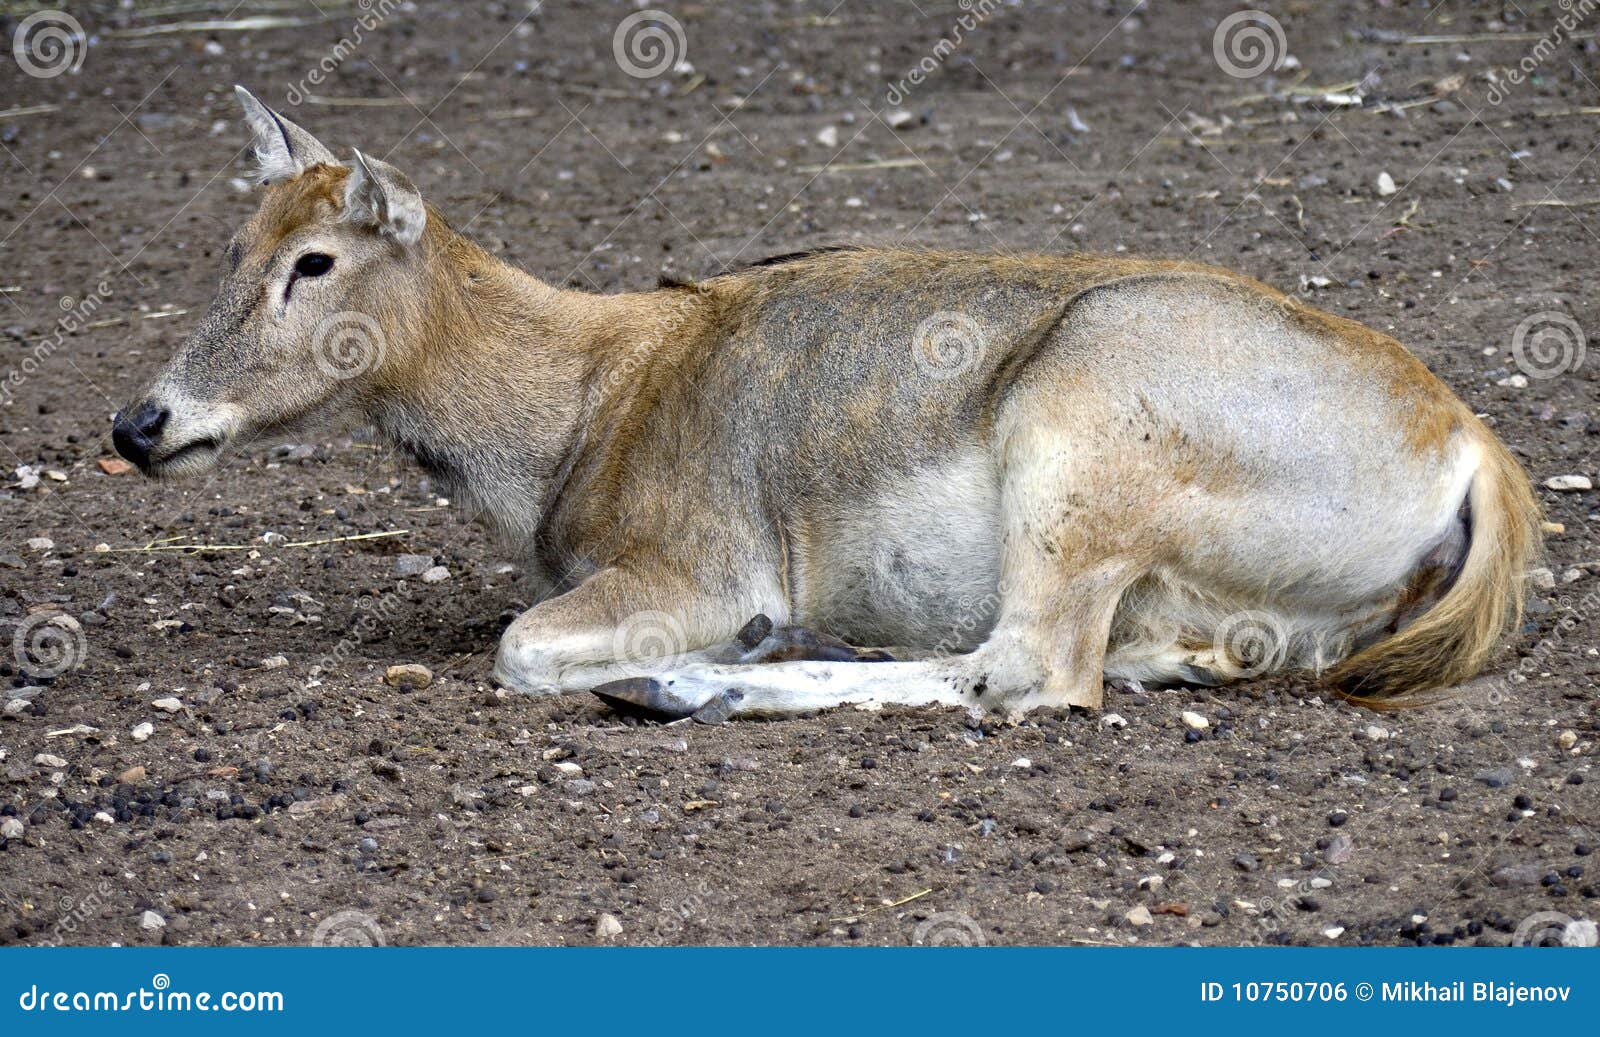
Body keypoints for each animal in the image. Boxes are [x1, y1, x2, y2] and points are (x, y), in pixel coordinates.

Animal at [111, 87, 1540, 722]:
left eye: (314, 260)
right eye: (235, 242)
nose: (142, 426)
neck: (584, 404)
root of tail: (1468, 454)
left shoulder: (693, 558)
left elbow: (518, 643)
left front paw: (697, 653)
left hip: (1076, 439)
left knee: (1028, 670)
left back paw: (699, 680)